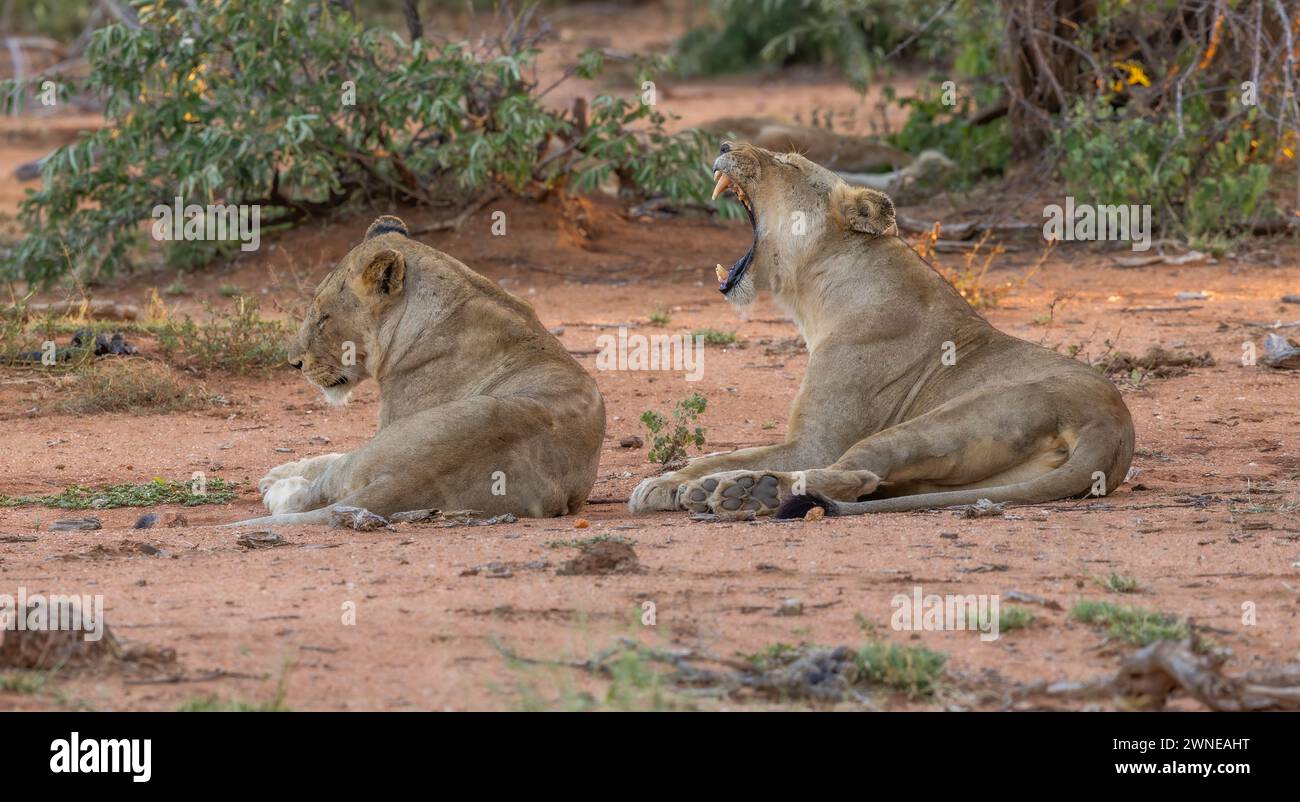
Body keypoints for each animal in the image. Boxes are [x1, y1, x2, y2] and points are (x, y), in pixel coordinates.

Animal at [234, 215, 605, 526]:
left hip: (378, 446)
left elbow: (329, 461)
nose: (293, 362)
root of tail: (412, 476)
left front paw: (278, 476)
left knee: (327, 482)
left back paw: (278, 491)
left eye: (324, 318)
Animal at [628, 142, 1134, 517]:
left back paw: (744, 492)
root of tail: (1112, 425)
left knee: (856, 475)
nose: (724, 145)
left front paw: (663, 485)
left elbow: (739, 453)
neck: (816, 292)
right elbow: (716, 453)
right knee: (873, 485)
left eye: (788, 163)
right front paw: (670, 481)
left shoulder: (817, 441)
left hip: (938, 423)